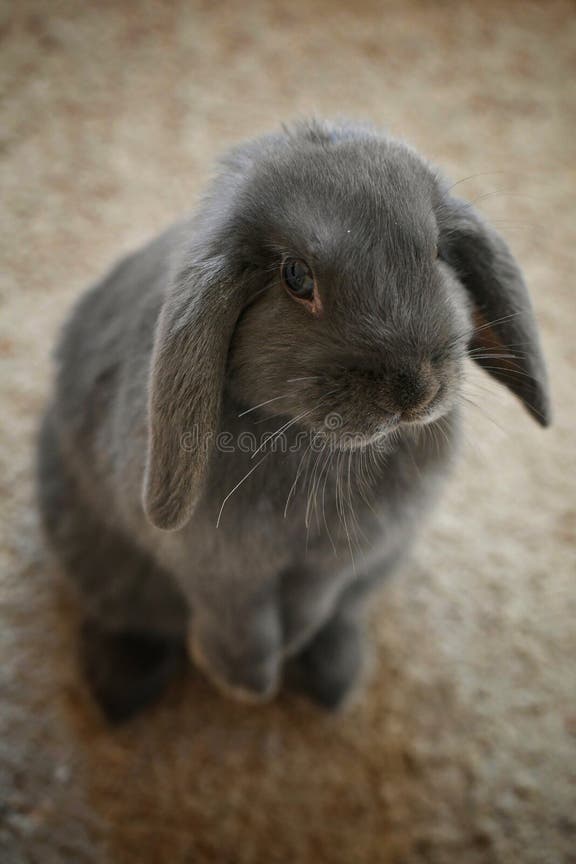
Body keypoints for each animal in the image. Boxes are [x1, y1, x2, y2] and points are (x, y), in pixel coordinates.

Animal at [37, 119, 550, 722]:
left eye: (436, 252)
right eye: (297, 277)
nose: (414, 389)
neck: (318, 444)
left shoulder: (340, 562)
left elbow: (311, 606)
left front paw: (286, 655)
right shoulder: (219, 570)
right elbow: (243, 625)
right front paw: (246, 686)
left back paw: (333, 682)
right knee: (126, 617)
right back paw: (121, 693)